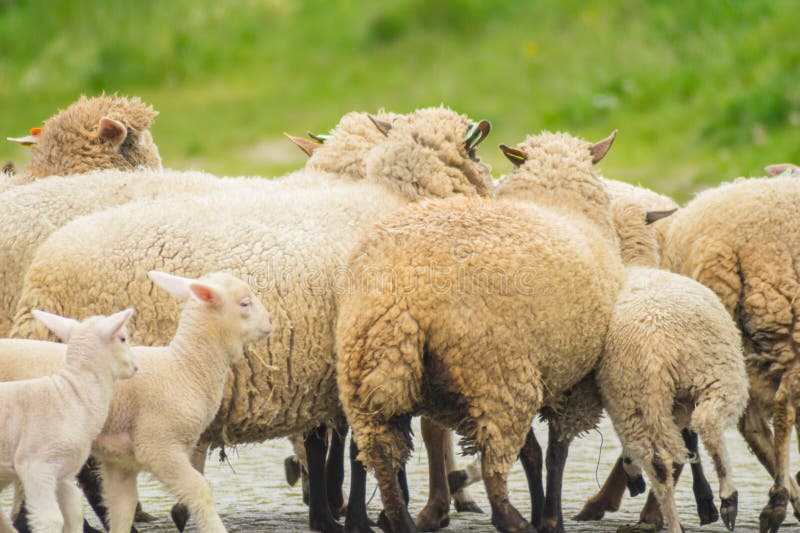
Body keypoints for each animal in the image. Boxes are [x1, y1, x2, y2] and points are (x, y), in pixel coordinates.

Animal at [0, 308, 136, 533]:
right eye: (123, 338)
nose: (136, 366)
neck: (72, 395)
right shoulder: (36, 466)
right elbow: (50, 520)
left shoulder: (61, 473)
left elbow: (74, 512)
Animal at [336, 130, 625, 532]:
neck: (557, 200)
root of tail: (403, 289)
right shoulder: (573, 382)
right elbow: (556, 452)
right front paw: (550, 519)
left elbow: (535, 452)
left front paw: (544, 513)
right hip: (496, 374)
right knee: (494, 465)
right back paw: (514, 520)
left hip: (364, 370)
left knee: (378, 454)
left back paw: (402, 520)